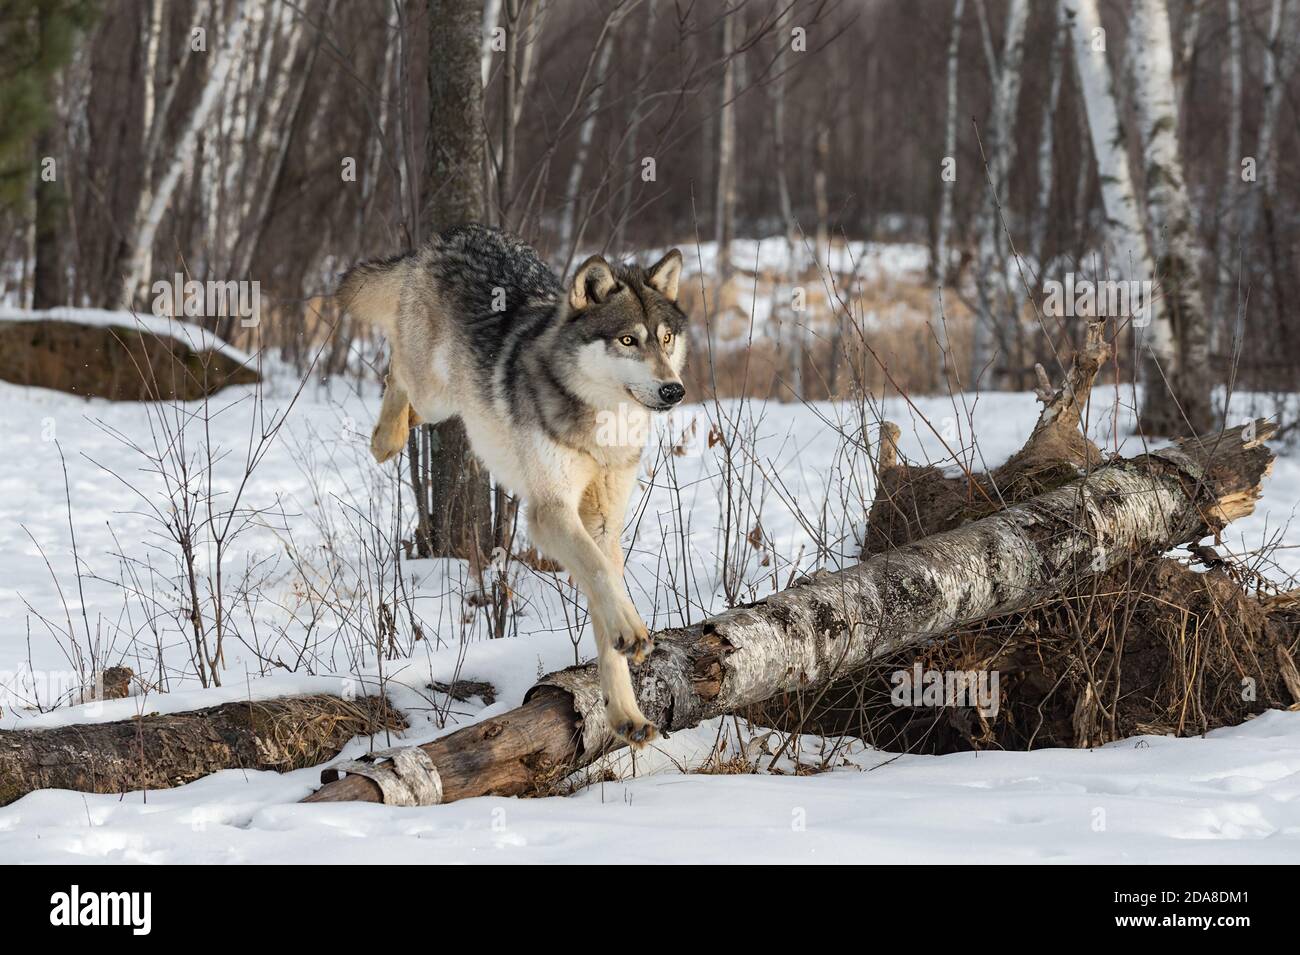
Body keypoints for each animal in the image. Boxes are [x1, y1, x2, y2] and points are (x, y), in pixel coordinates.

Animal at [338, 225, 686, 746]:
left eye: (665, 339)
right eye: (628, 340)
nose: (674, 390)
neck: (603, 426)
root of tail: (452, 235)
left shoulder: (603, 525)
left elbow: (605, 604)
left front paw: (626, 715)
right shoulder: (549, 513)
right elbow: (602, 577)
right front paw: (631, 629)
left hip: (450, 401)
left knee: (418, 402)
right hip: (434, 389)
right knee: (395, 372)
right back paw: (387, 438)